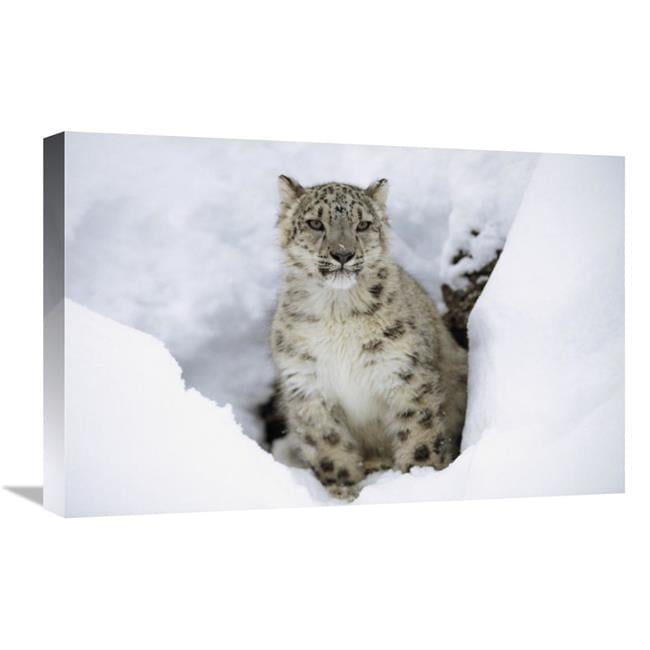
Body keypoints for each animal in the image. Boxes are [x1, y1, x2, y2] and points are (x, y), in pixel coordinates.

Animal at [270, 176, 468, 500]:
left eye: (362, 224)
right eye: (315, 223)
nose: (342, 253)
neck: (337, 313)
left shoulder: (404, 373)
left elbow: (419, 435)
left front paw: (418, 477)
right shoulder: (307, 384)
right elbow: (329, 446)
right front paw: (344, 492)